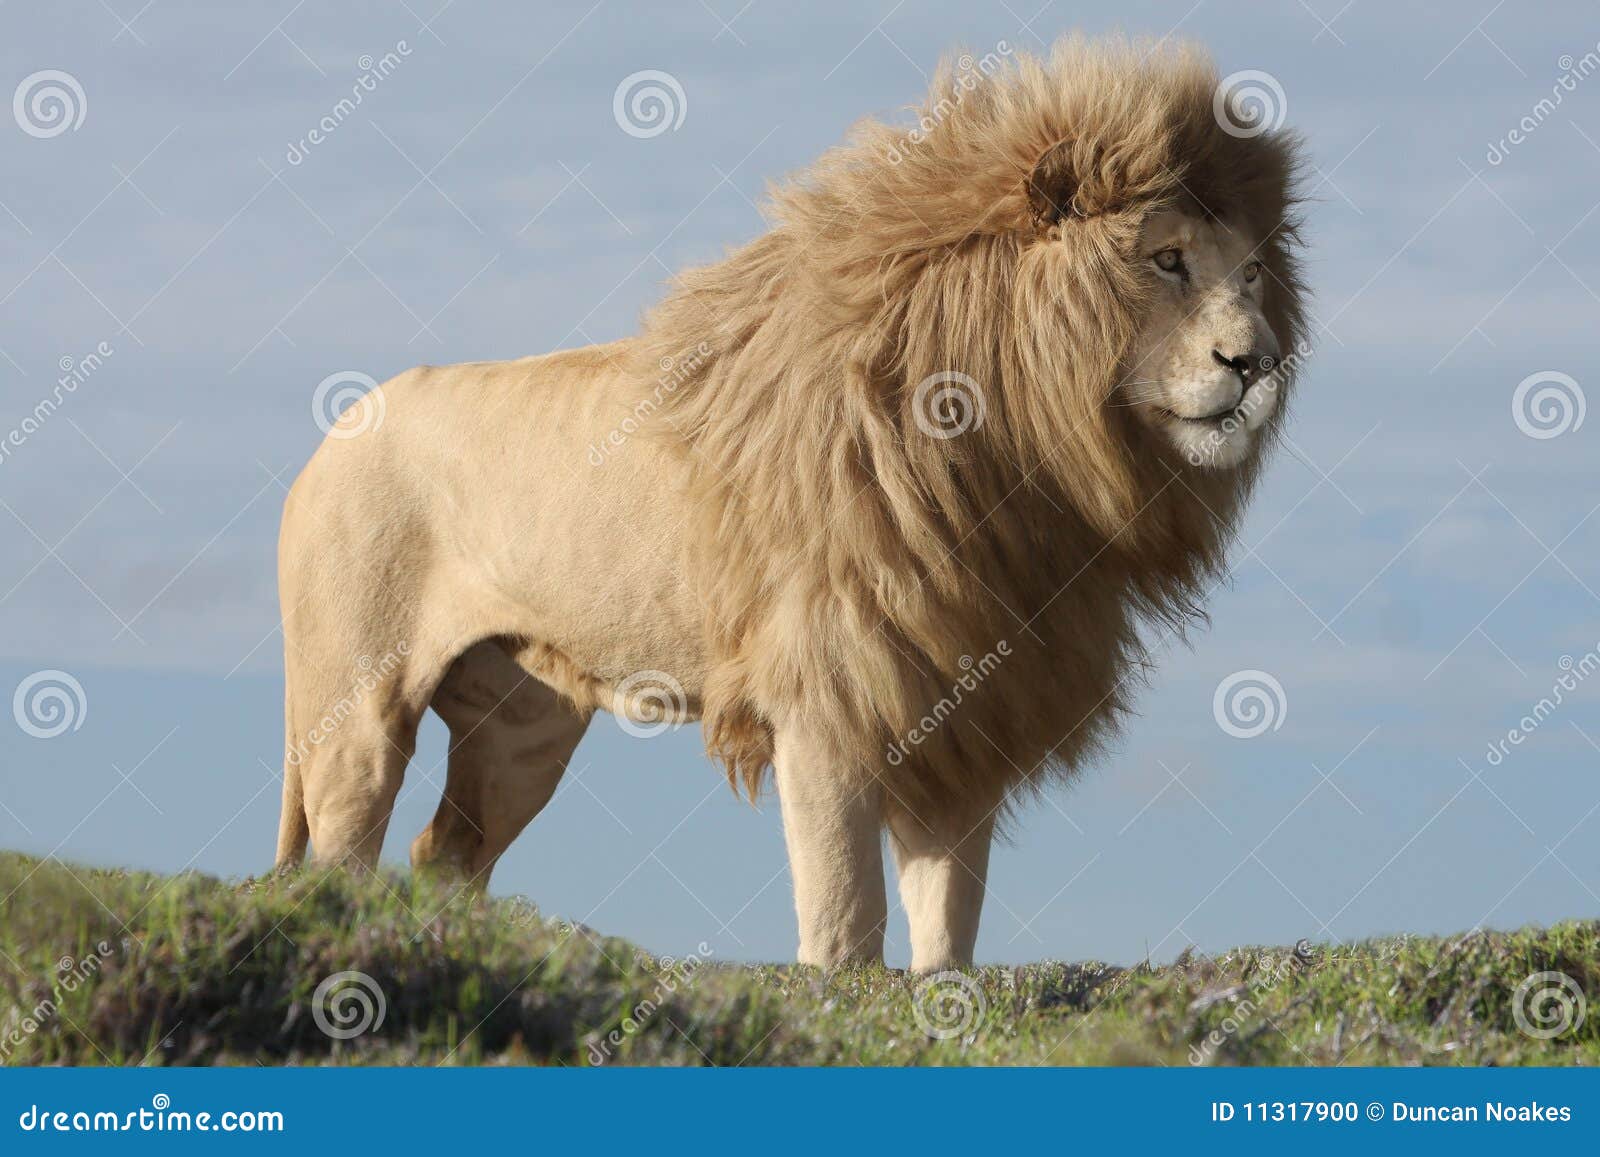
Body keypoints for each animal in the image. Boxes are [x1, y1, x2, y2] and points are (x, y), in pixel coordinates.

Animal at [273, 36, 1307, 972]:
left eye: (1253, 275)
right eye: (1167, 260)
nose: (1257, 361)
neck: (1028, 461)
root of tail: (330, 438)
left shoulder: (966, 703)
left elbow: (948, 920)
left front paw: (943, 1008)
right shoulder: (827, 696)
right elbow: (846, 915)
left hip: (524, 724)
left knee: (445, 851)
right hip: (354, 711)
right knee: (342, 852)